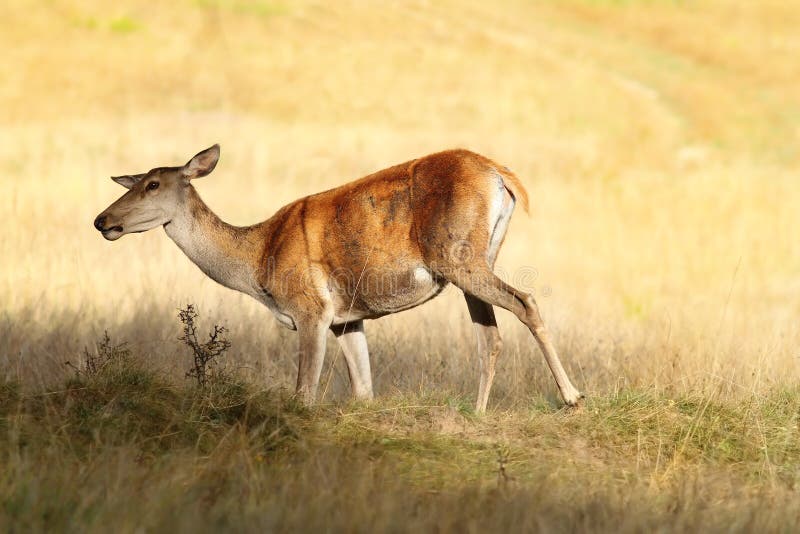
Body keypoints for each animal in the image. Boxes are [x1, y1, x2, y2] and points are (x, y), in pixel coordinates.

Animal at [93, 145, 583, 412]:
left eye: (153, 184)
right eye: (132, 182)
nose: (103, 221)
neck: (258, 261)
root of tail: (501, 175)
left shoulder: (311, 309)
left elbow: (303, 394)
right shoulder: (348, 319)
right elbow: (363, 391)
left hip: (458, 256)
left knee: (526, 301)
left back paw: (573, 396)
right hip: (476, 257)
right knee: (490, 333)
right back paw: (479, 413)